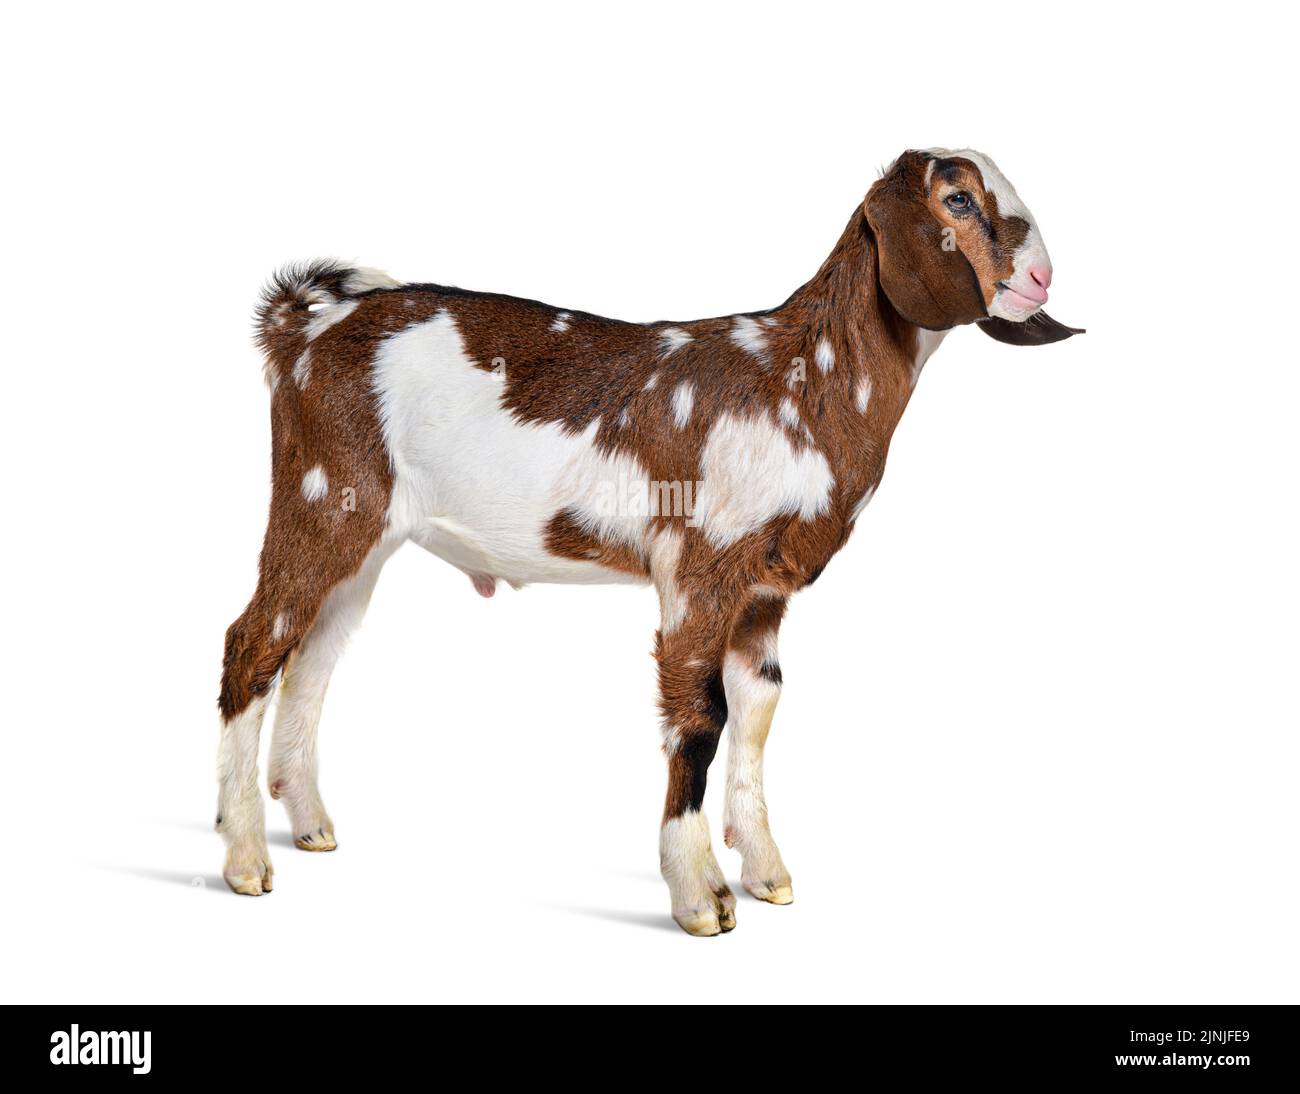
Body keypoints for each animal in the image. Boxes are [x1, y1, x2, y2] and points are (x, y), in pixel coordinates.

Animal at [217, 148, 1082, 934]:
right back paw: (245, 858)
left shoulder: (764, 591)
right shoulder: (699, 568)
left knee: (313, 658)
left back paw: (310, 825)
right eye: (958, 198)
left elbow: (759, 708)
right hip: (321, 501)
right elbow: (698, 720)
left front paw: (766, 871)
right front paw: (701, 896)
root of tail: (301, 334)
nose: (1041, 277)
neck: (800, 380)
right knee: (253, 643)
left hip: (363, 544)